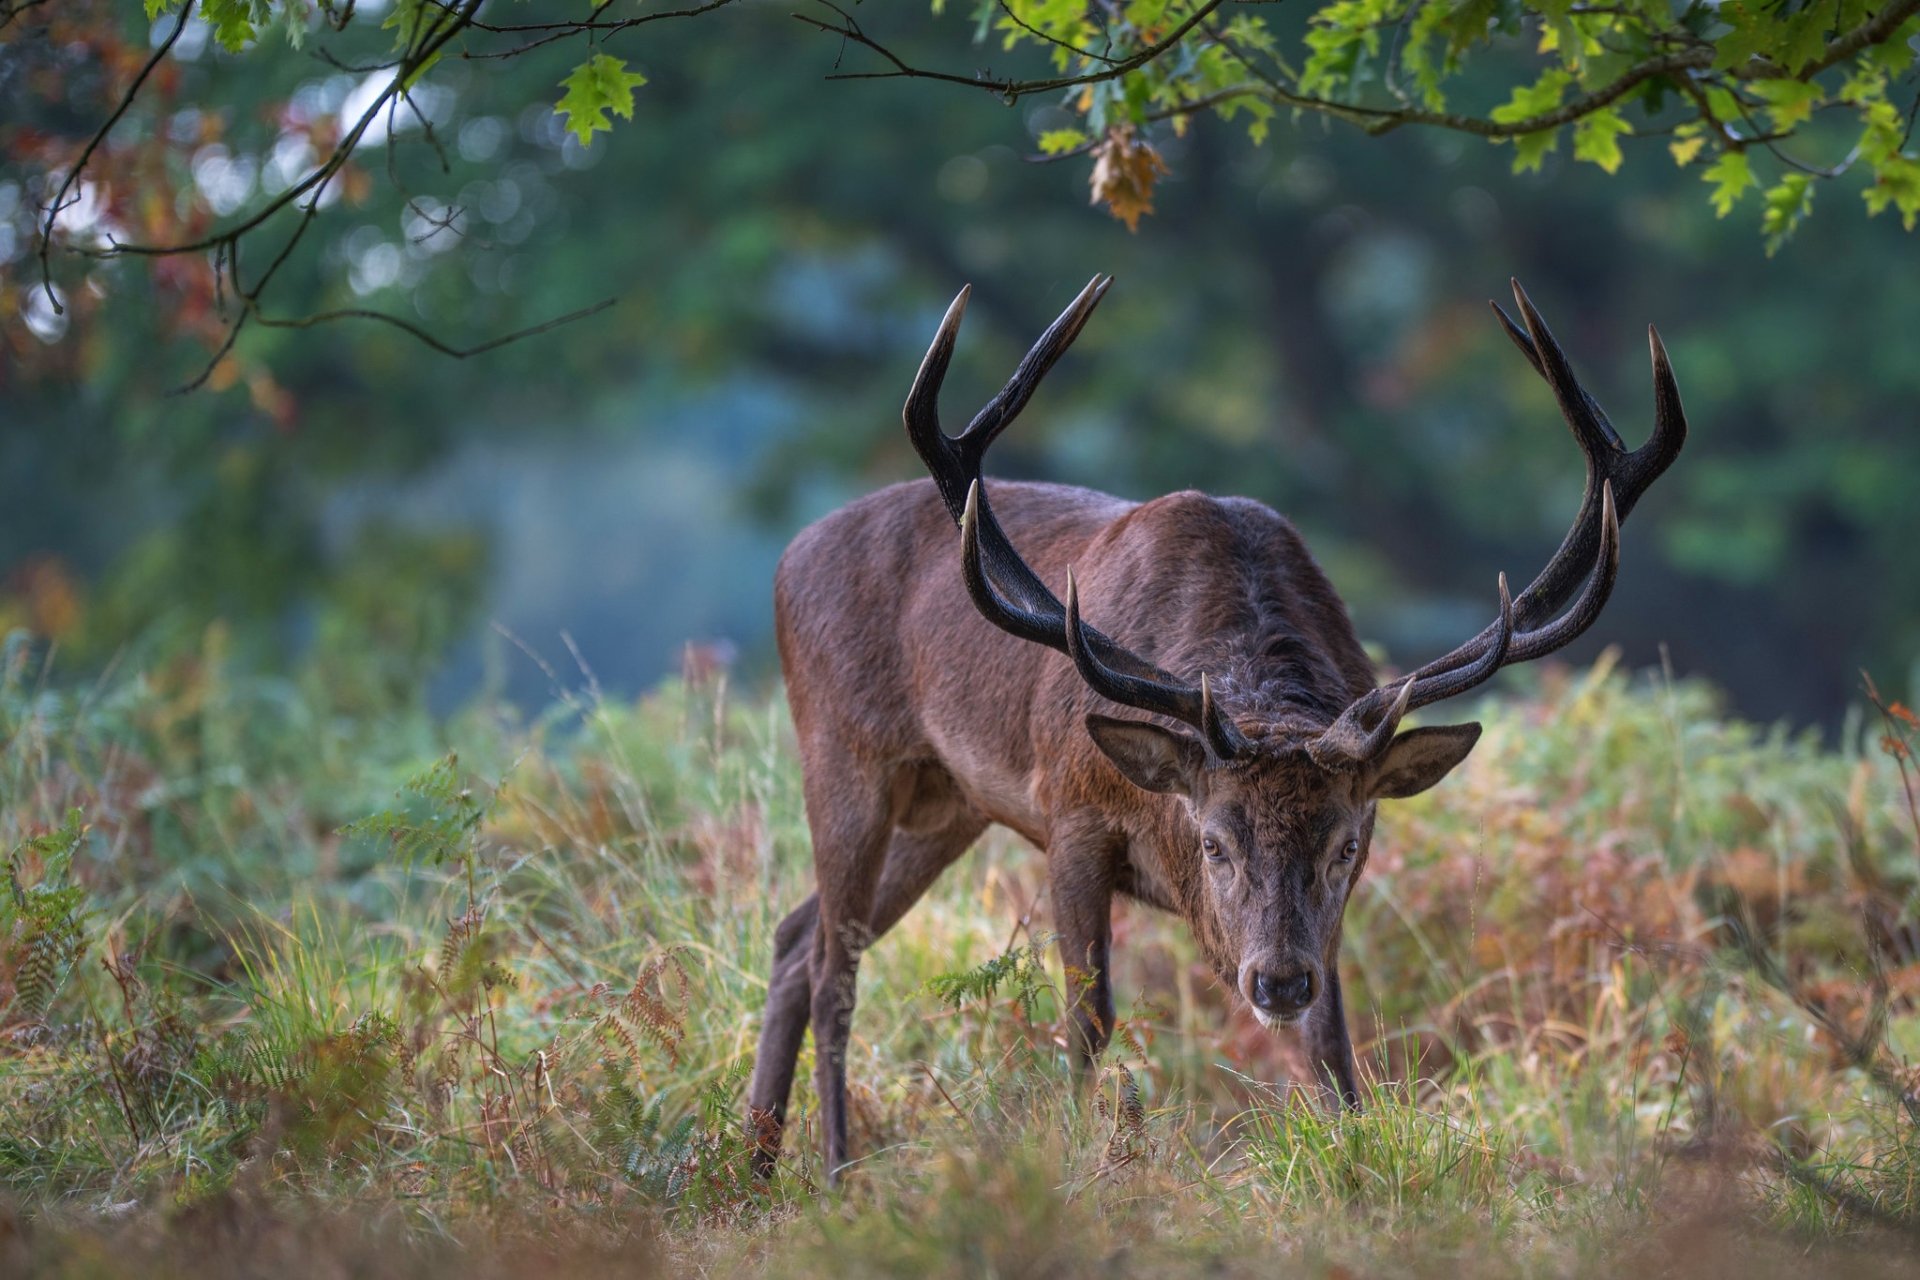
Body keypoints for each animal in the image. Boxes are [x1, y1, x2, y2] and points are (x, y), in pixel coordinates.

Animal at [747, 276, 1686, 1183]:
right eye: (1214, 842)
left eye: (1347, 844)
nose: (1276, 981)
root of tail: (788, 559)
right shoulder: (1070, 813)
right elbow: (1089, 1019)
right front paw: (1082, 1163)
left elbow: (1335, 1049)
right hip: (842, 751)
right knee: (832, 966)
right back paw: (835, 1173)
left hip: (947, 807)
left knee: (795, 938)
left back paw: (757, 1161)